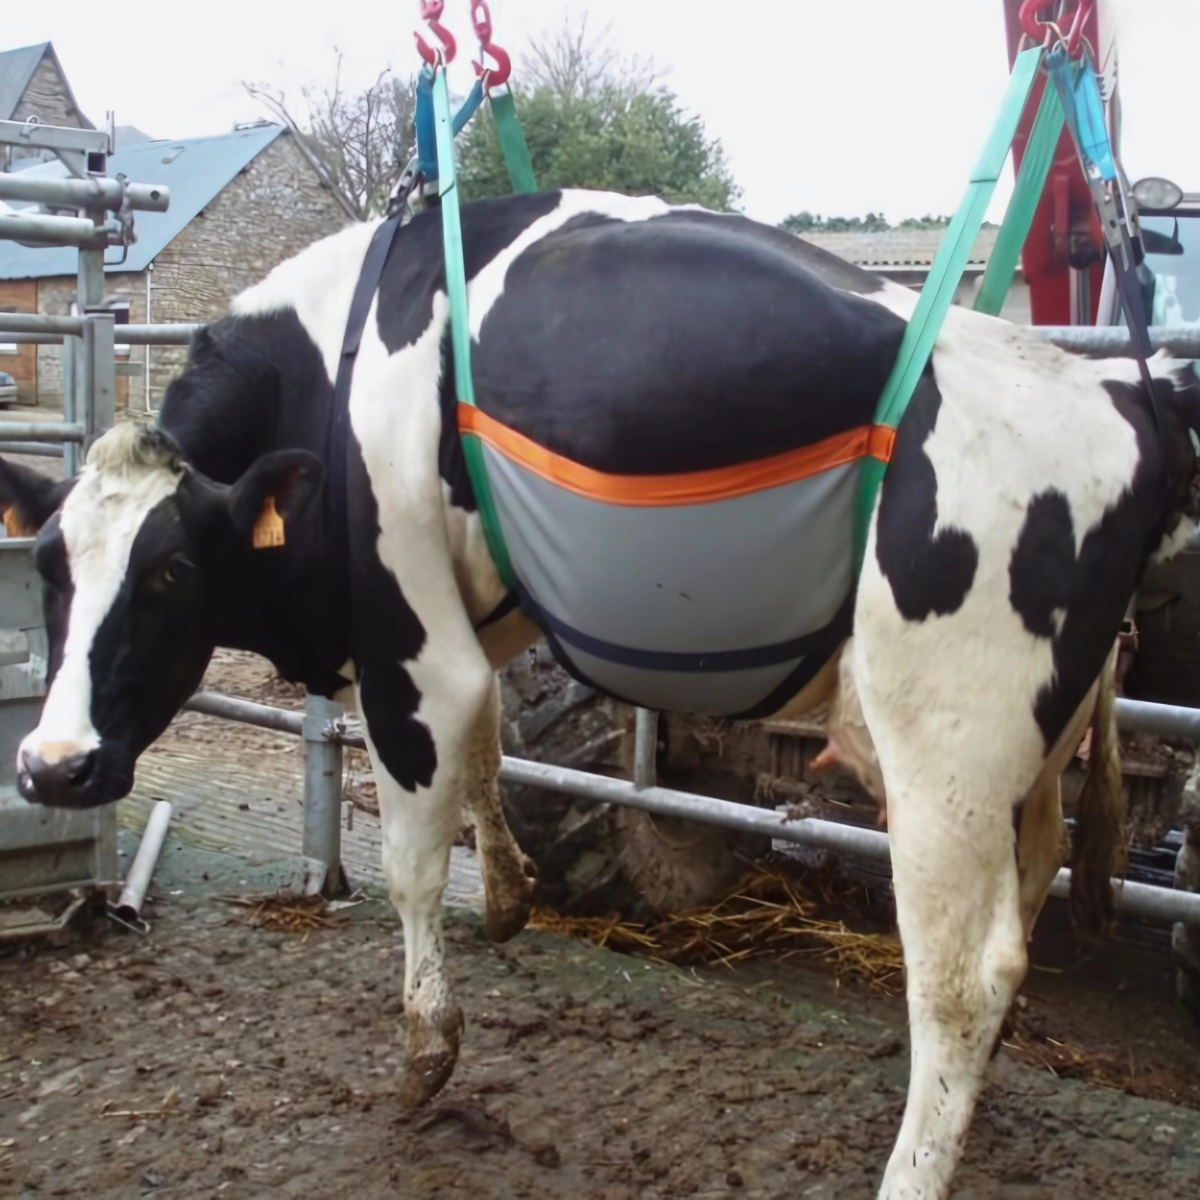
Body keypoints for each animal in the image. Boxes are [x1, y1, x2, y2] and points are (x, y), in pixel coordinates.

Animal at [3, 188, 1198, 1200]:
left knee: (962, 974)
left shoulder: (407, 648)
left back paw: (912, 1172)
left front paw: (426, 1050)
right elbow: (490, 743)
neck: (337, 363)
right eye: (48, 567)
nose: (51, 767)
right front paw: (512, 892)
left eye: (171, 571)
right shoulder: (475, 620)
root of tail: (1120, 391)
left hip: (944, 750)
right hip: (1033, 756)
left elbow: (410, 862)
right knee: (1027, 899)